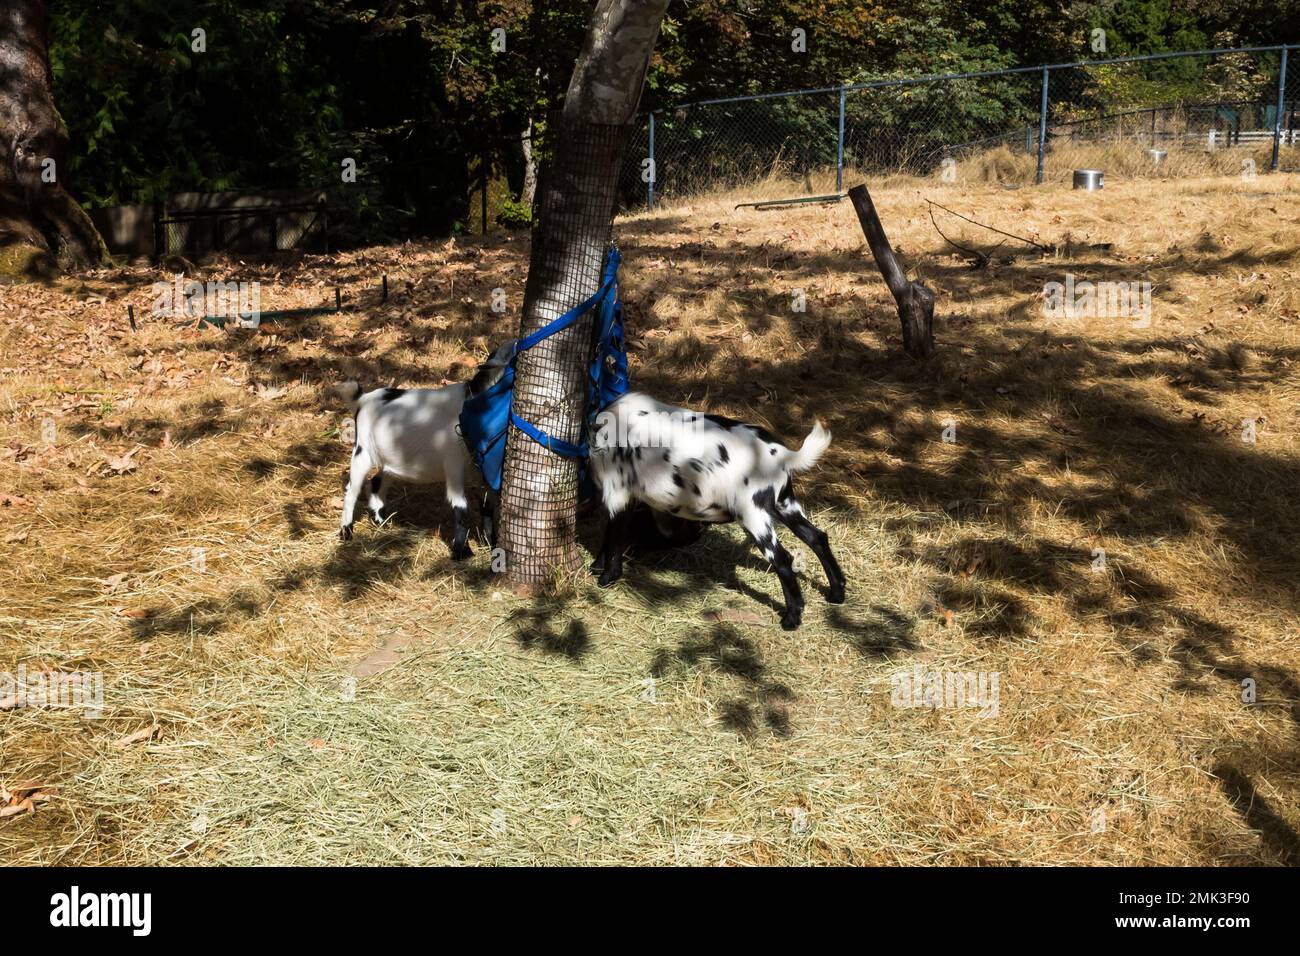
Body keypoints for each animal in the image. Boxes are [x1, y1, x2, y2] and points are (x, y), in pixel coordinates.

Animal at [589, 393, 845, 630]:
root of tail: (782, 454)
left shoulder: (617, 492)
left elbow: (614, 536)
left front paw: (606, 577)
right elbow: (610, 535)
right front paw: (596, 567)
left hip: (753, 514)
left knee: (783, 559)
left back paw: (792, 618)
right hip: (784, 503)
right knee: (816, 537)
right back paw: (837, 593)